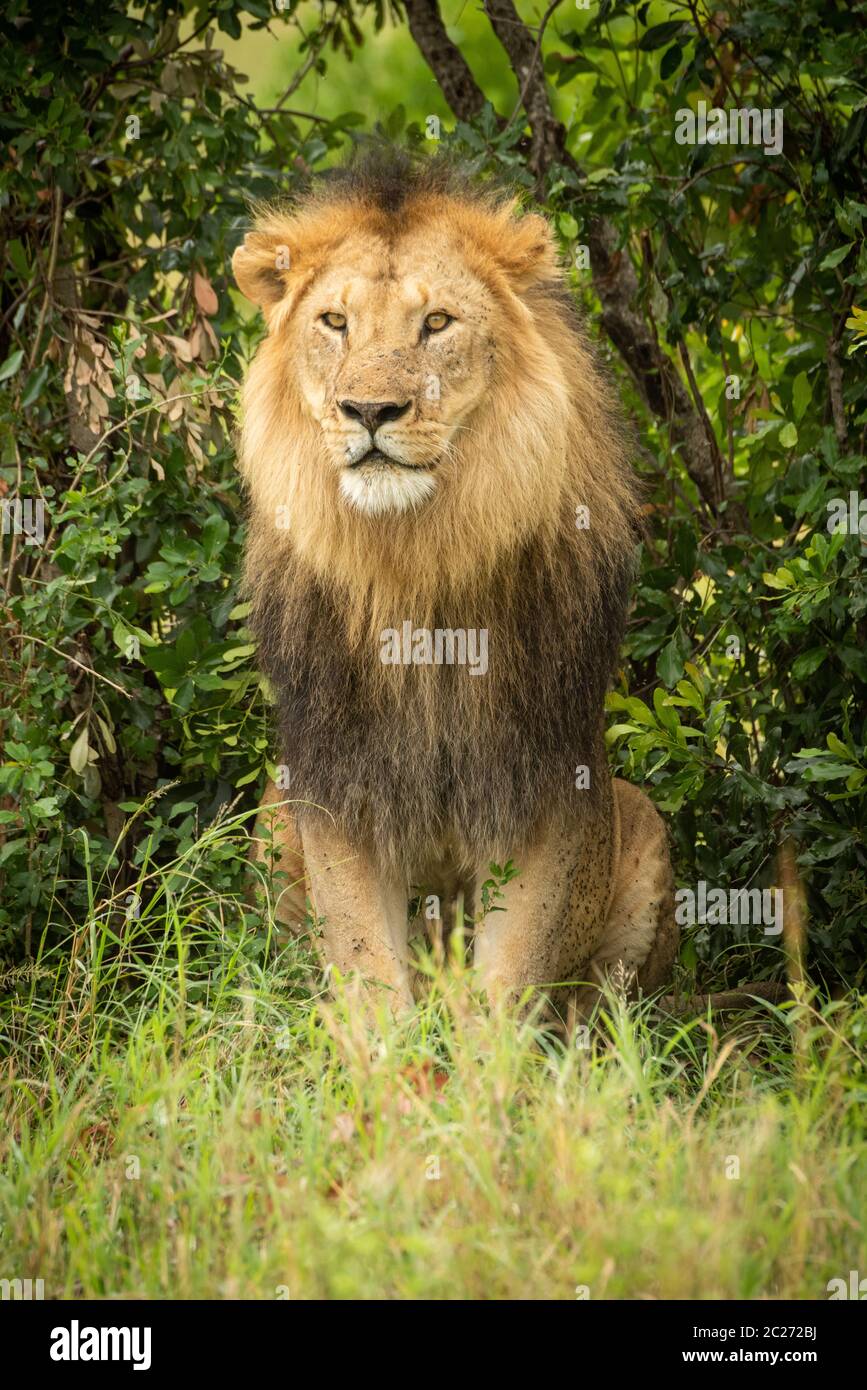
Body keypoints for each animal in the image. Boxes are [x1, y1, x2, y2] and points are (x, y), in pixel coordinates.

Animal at [232, 148, 676, 1020]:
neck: (415, 561)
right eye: (333, 323)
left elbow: (508, 982)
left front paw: (487, 1060)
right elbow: (368, 972)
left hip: (642, 827)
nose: (369, 410)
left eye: (435, 323)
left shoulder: (548, 779)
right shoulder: (337, 784)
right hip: (273, 811)